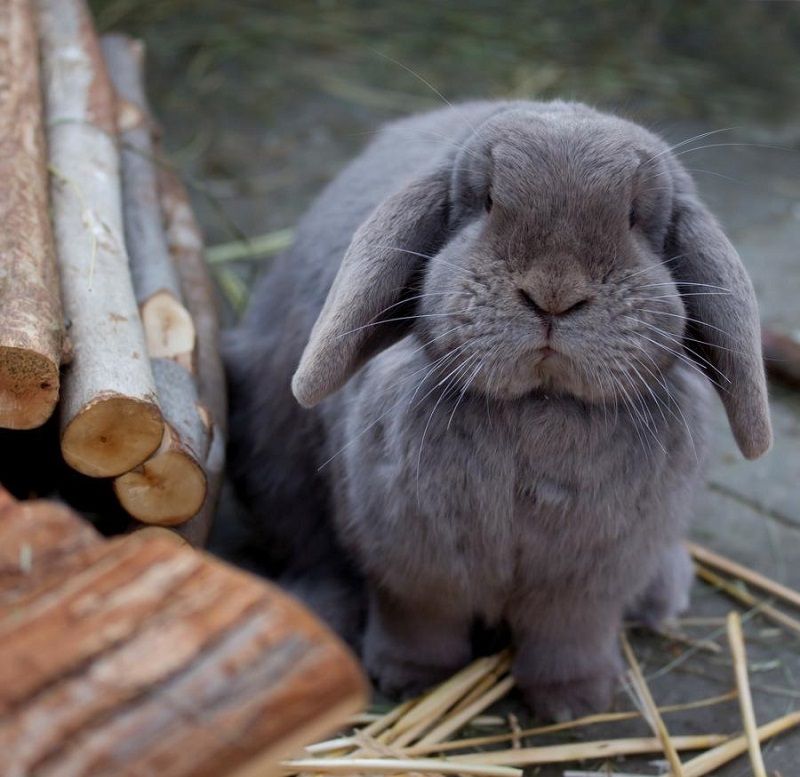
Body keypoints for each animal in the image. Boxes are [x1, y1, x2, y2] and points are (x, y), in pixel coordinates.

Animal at [223, 100, 768, 720]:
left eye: (634, 216)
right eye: (485, 200)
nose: (553, 293)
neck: (538, 404)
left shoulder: (587, 586)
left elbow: (569, 637)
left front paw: (574, 702)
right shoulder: (414, 566)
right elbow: (418, 620)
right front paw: (409, 678)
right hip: (278, 463)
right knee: (309, 550)